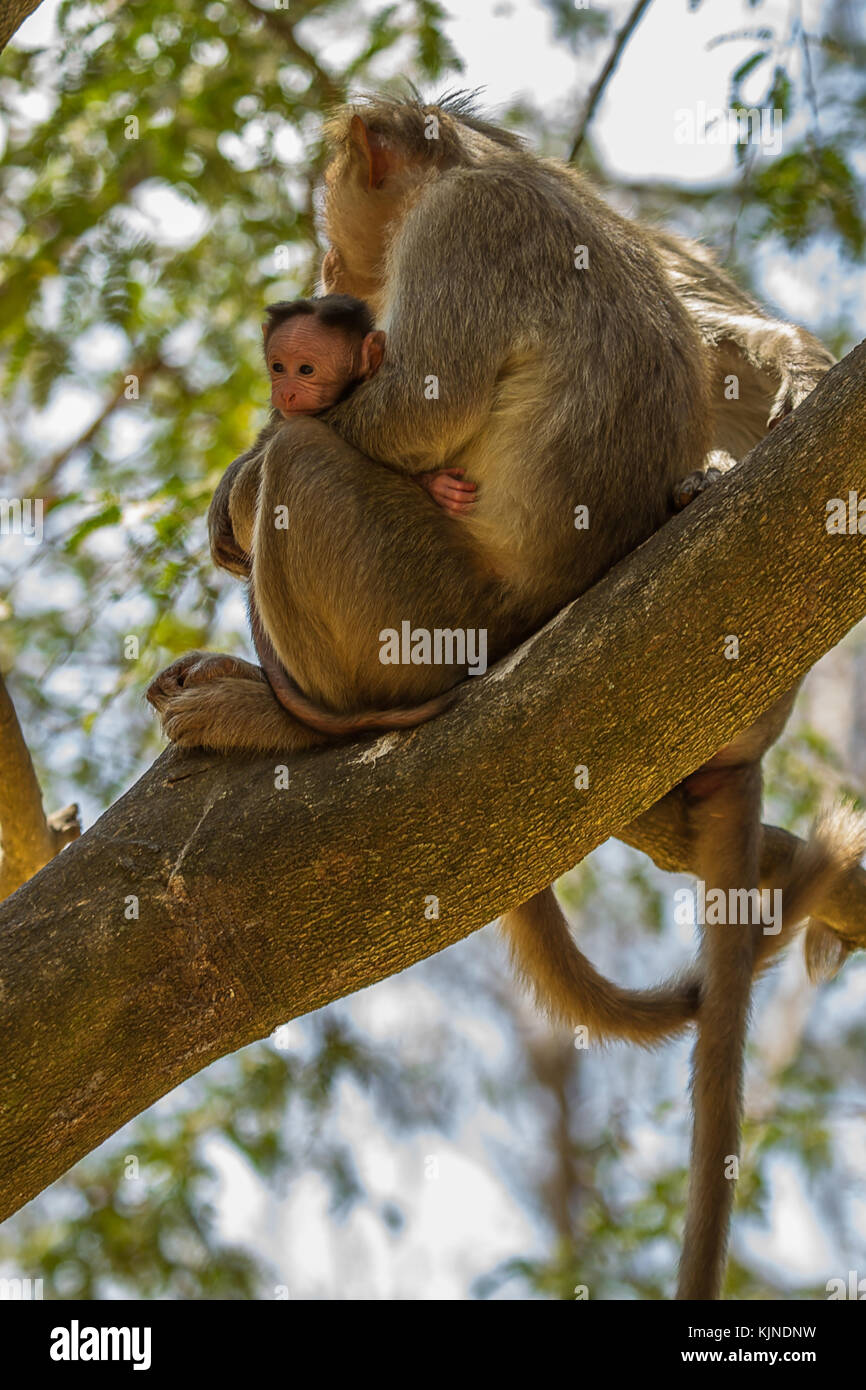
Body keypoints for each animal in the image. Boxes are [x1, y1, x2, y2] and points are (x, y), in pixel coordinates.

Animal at [147, 95, 863, 1298]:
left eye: (337, 243)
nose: (329, 271)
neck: (479, 166)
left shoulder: (463, 229)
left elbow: (398, 418)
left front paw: (243, 471)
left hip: (428, 604)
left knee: (309, 470)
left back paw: (282, 711)